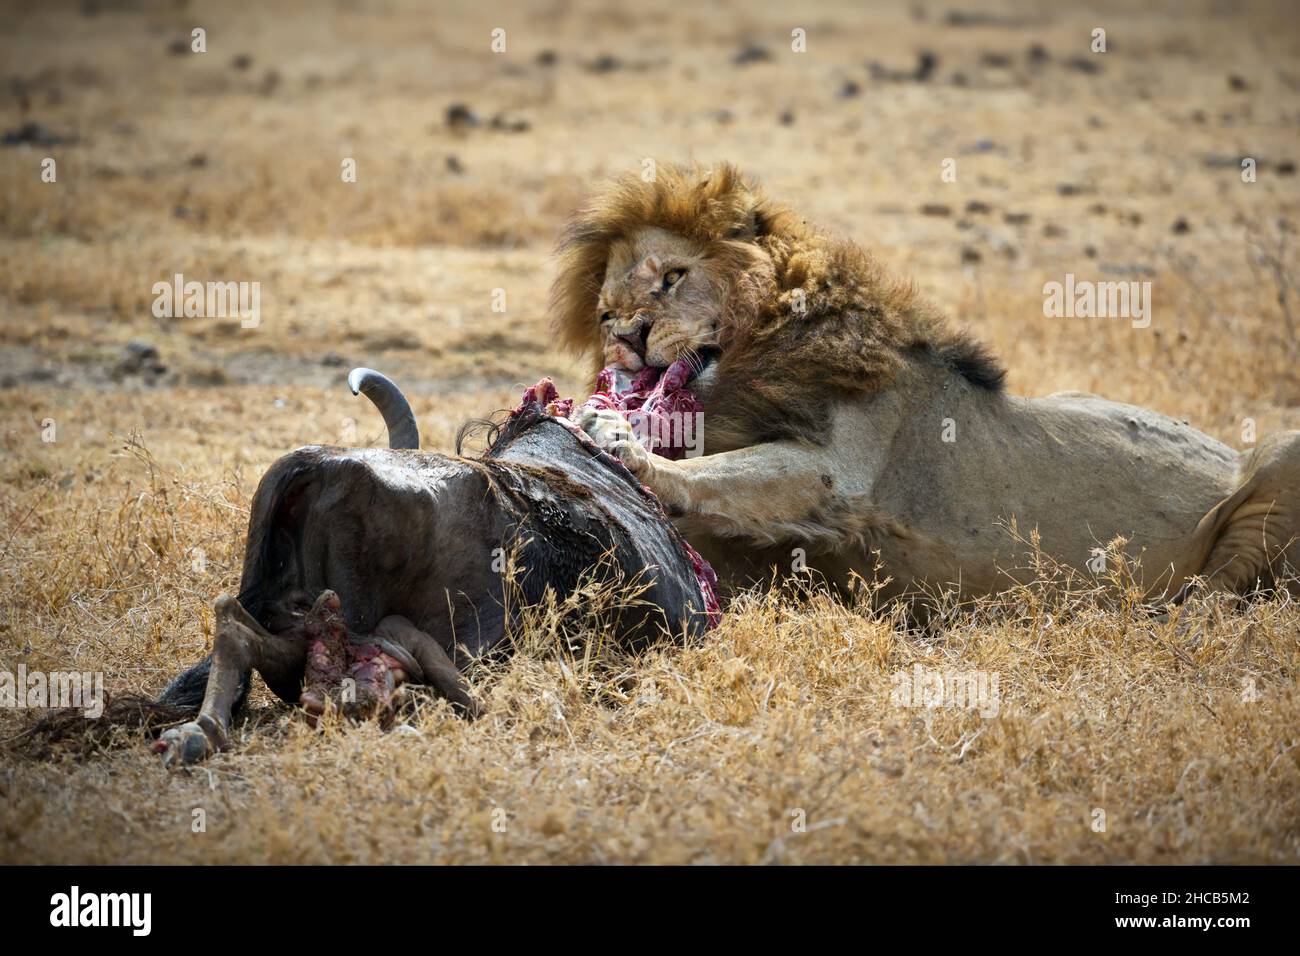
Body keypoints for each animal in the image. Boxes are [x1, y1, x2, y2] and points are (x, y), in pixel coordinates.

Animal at [551, 163, 1300, 606]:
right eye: (605, 311)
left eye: (673, 277)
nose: (626, 336)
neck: (755, 363)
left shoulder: (846, 472)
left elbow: (723, 474)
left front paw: (617, 439)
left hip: (1279, 458)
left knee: (1225, 596)